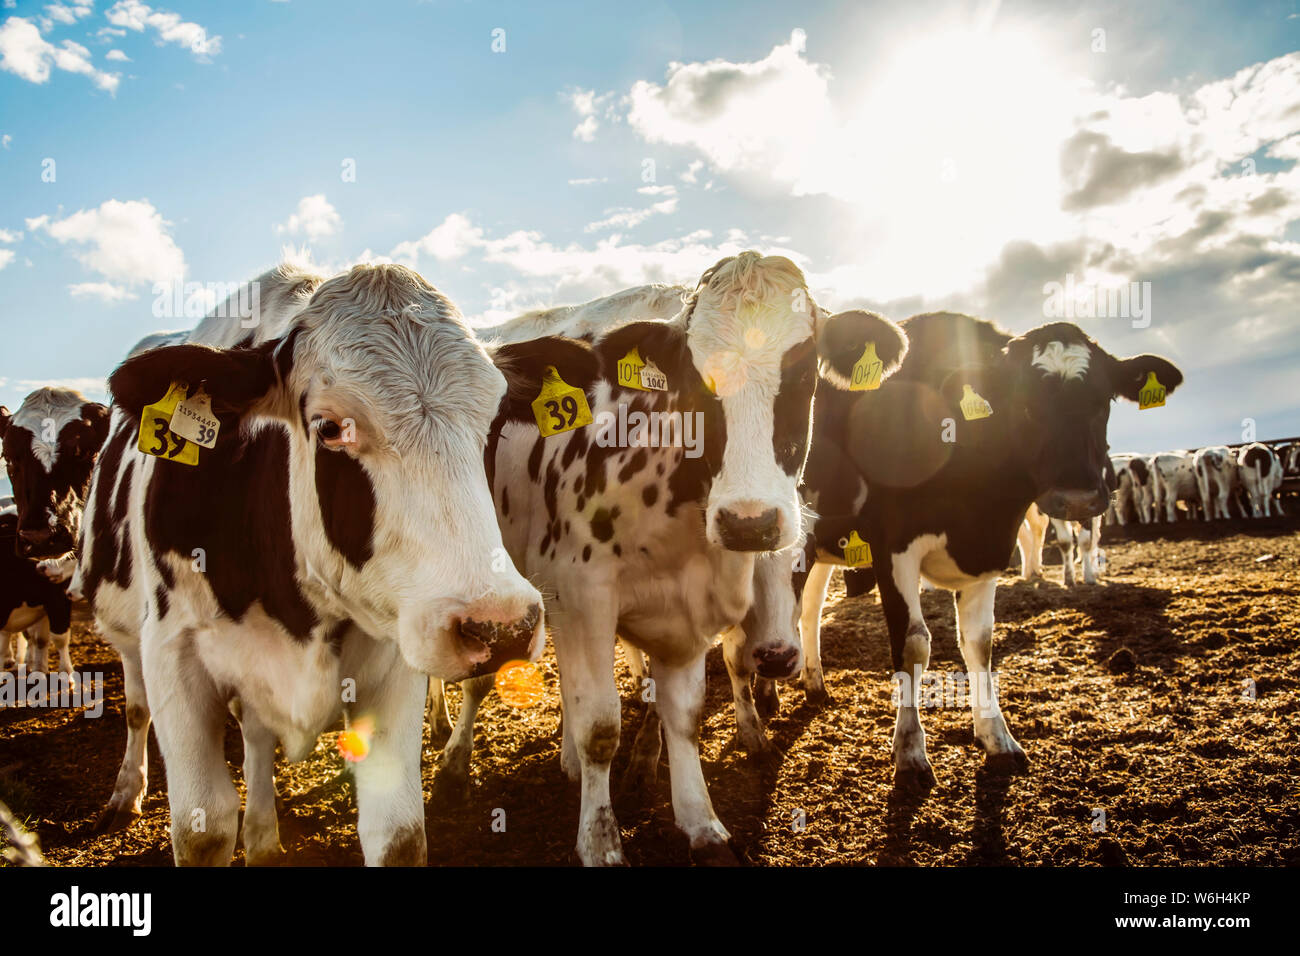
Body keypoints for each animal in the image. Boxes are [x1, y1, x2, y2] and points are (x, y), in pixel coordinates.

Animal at [76, 261, 596, 866]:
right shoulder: (174, 657)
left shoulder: (394, 665)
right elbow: (202, 830)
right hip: (131, 644)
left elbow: (398, 834)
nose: (502, 627)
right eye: (328, 428)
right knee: (142, 711)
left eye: (493, 423)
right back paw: (129, 793)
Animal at [430, 252, 908, 865]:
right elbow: (599, 727)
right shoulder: (582, 593)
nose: (749, 522)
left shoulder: (685, 607)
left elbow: (684, 716)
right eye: (698, 380)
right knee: (478, 680)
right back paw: (454, 761)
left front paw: (702, 823)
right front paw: (600, 840)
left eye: (803, 375)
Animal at [747, 313, 1182, 782]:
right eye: (1025, 403)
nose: (1079, 500)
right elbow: (913, 643)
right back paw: (767, 695)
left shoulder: (988, 552)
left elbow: (980, 643)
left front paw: (998, 738)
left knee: (807, 609)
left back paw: (810, 684)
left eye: (1102, 401)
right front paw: (910, 752)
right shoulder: (892, 545)